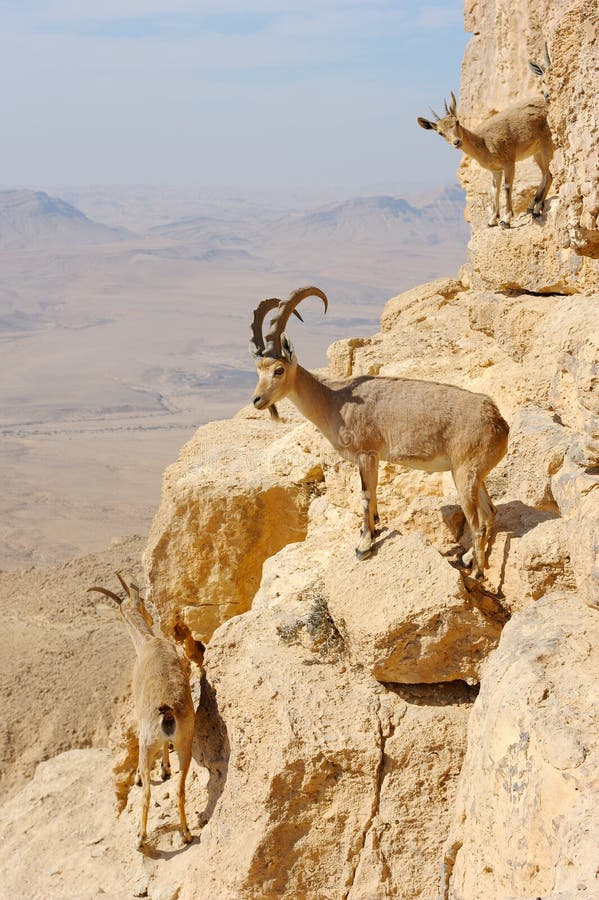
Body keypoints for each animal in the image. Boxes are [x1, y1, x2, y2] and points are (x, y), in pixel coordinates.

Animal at [88, 573, 195, 849]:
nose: (150, 618)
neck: (148, 641)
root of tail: (167, 711)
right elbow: (166, 751)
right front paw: (165, 768)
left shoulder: (140, 720)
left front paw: (141, 774)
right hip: (185, 742)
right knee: (180, 788)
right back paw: (186, 832)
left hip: (149, 744)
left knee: (147, 792)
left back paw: (141, 837)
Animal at [250, 288, 509, 581]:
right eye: (258, 369)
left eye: (278, 370)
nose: (257, 400)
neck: (333, 401)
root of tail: (498, 421)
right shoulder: (373, 459)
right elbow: (372, 492)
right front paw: (374, 528)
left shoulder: (366, 453)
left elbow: (365, 494)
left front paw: (364, 545)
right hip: (476, 474)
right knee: (490, 512)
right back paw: (468, 558)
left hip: (464, 474)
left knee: (477, 522)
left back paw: (478, 572)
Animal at [417, 88, 554, 227]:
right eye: (440, 133)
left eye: (457, 122)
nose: (456, 142)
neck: (483, 143)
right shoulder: (496, 169)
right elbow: (495, 190)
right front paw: (492, 220)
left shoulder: (509, 161)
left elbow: (507, 186)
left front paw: (505, 219)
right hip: (537, 152)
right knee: (544, 174)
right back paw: (532, 206)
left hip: (547, 145)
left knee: (549, 175)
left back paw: (537, 210)